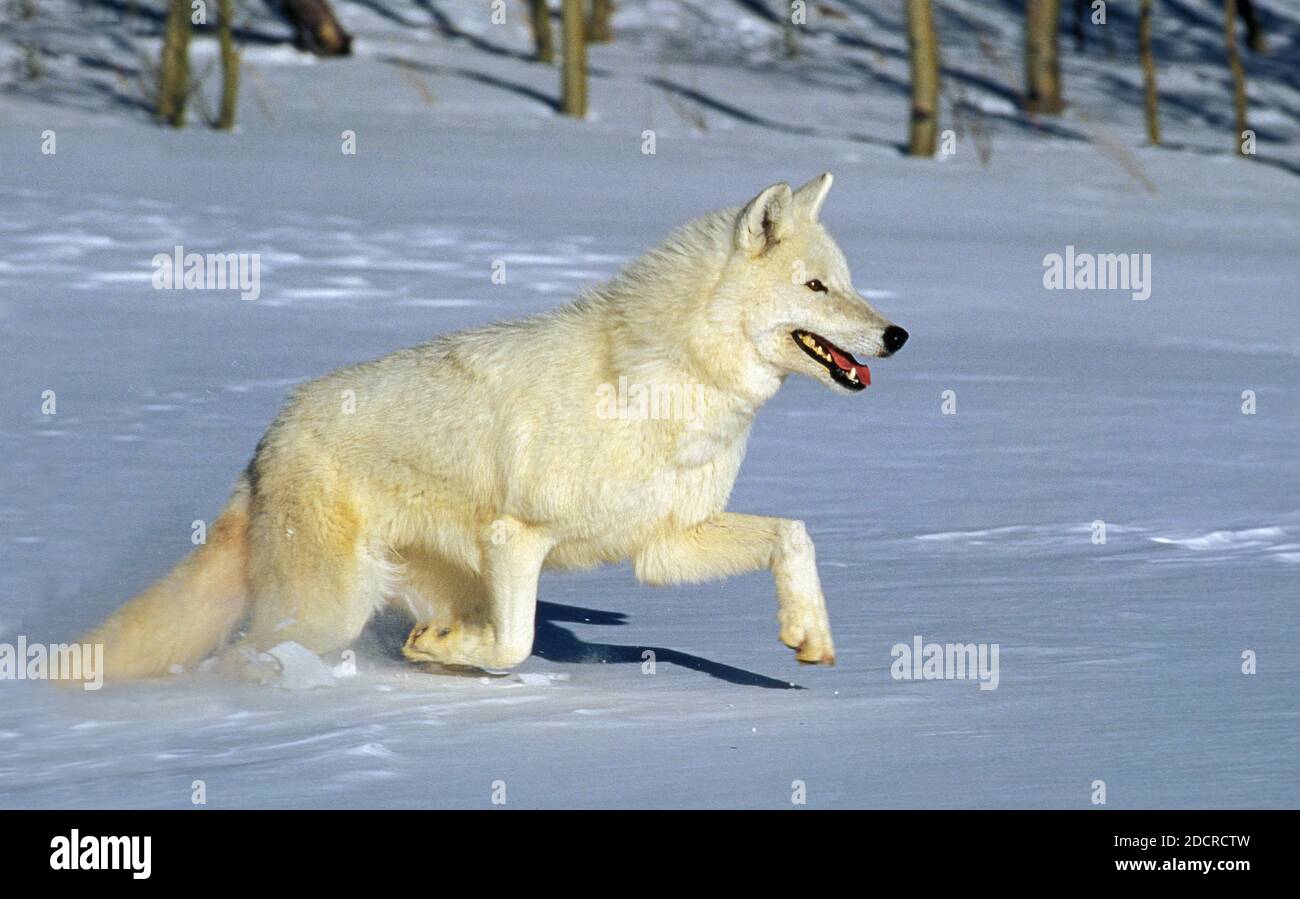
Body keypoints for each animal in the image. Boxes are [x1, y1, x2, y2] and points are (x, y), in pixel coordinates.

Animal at [81, 174, 908, 681]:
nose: (897, 334)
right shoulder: (517, 536)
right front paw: (449, 650)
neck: (662, 380)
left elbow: (793, 534)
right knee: (237, 656)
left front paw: (810, 636)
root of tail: (265, 440)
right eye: (816, 286)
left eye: (848, 282)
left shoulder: (663, 546)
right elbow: (515, 642)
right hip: (330, 608)